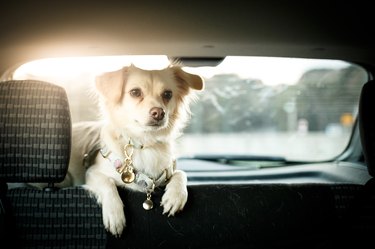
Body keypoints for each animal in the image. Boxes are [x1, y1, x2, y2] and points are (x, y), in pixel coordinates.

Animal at [55, 63, 204, 236]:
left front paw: (175, 196)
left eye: (168, 94)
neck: (144, 143)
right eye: (135, 92)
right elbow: (108, 183)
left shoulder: (166, 172)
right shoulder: (92, 173)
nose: (159, 113)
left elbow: (181, 173)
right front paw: (114, 214)